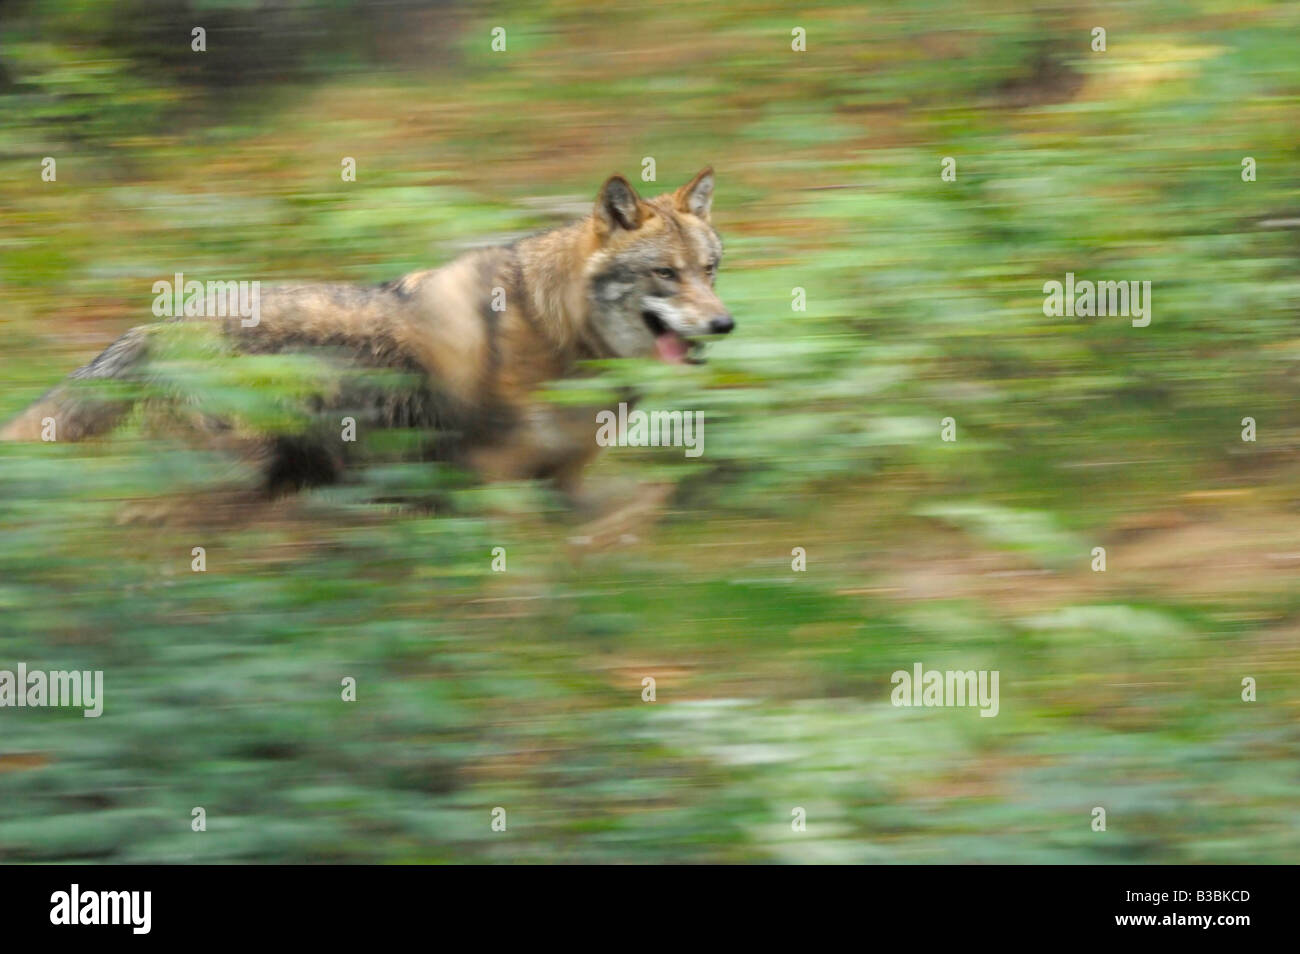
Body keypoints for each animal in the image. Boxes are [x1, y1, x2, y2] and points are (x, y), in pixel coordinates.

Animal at [1, 168, 732, 499]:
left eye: (710, 269)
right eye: (664, 274)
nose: (725, 323)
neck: (557, 331)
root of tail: (161, 324)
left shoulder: (565, 482)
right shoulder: (494, 484)